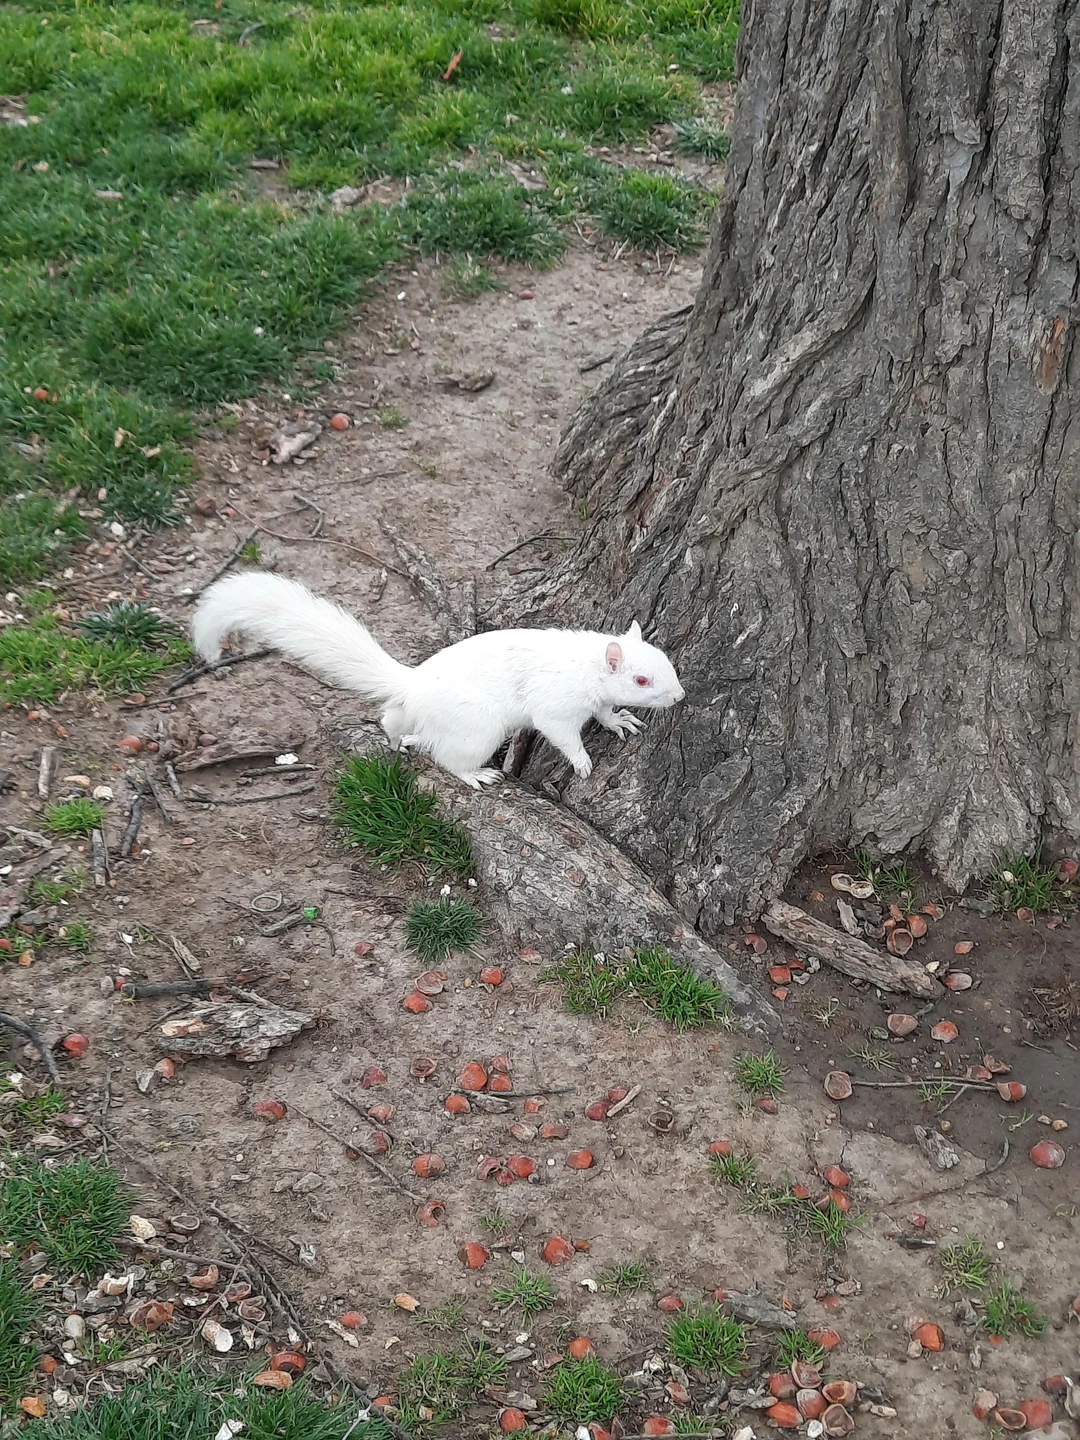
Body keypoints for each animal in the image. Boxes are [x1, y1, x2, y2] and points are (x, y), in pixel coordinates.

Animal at [192, 571, 685, 788]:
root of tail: (413, 686)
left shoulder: (591, 698)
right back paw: (475, 776)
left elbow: (603, 711)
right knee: (448, 758)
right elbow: (562, 733)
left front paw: (620, 721)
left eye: (668, 661)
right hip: (477, 730)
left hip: (415, 717)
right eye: (642, 680)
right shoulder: (555, 706)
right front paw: (581, 761)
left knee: (395, 721)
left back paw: (399, 738)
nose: (680, 696)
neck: (586, 665)